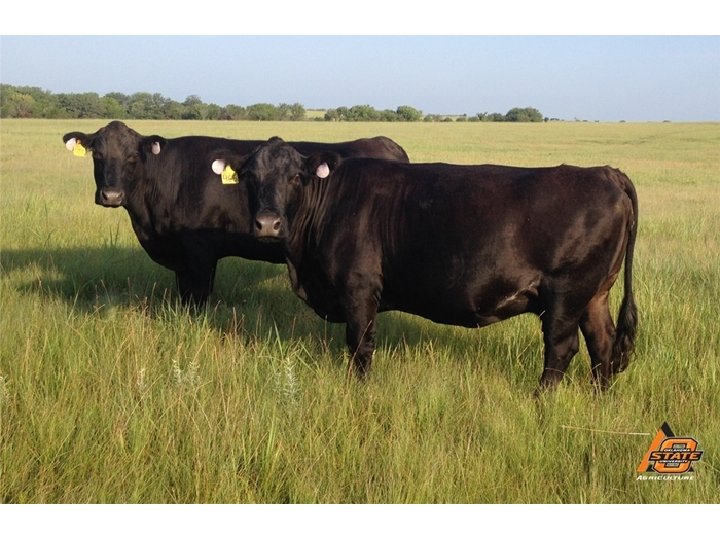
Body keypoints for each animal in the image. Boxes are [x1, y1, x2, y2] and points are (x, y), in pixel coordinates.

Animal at [62, 121, 409, 307]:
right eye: (97, 154)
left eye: (133, 156)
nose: (111, 195)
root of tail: (385, 141)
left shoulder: (200, 252)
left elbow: (198, 299)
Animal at [211, 137, 638, 391]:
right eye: (250, 176)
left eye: (296, 177)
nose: (267, 222)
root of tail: (606, 172)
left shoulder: (359, 289)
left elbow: (360, 345)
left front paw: (358, 391)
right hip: (594, 295)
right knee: (603, 344)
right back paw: (598, 398)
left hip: (566, 293)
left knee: (561, 348)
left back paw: (540, 401)